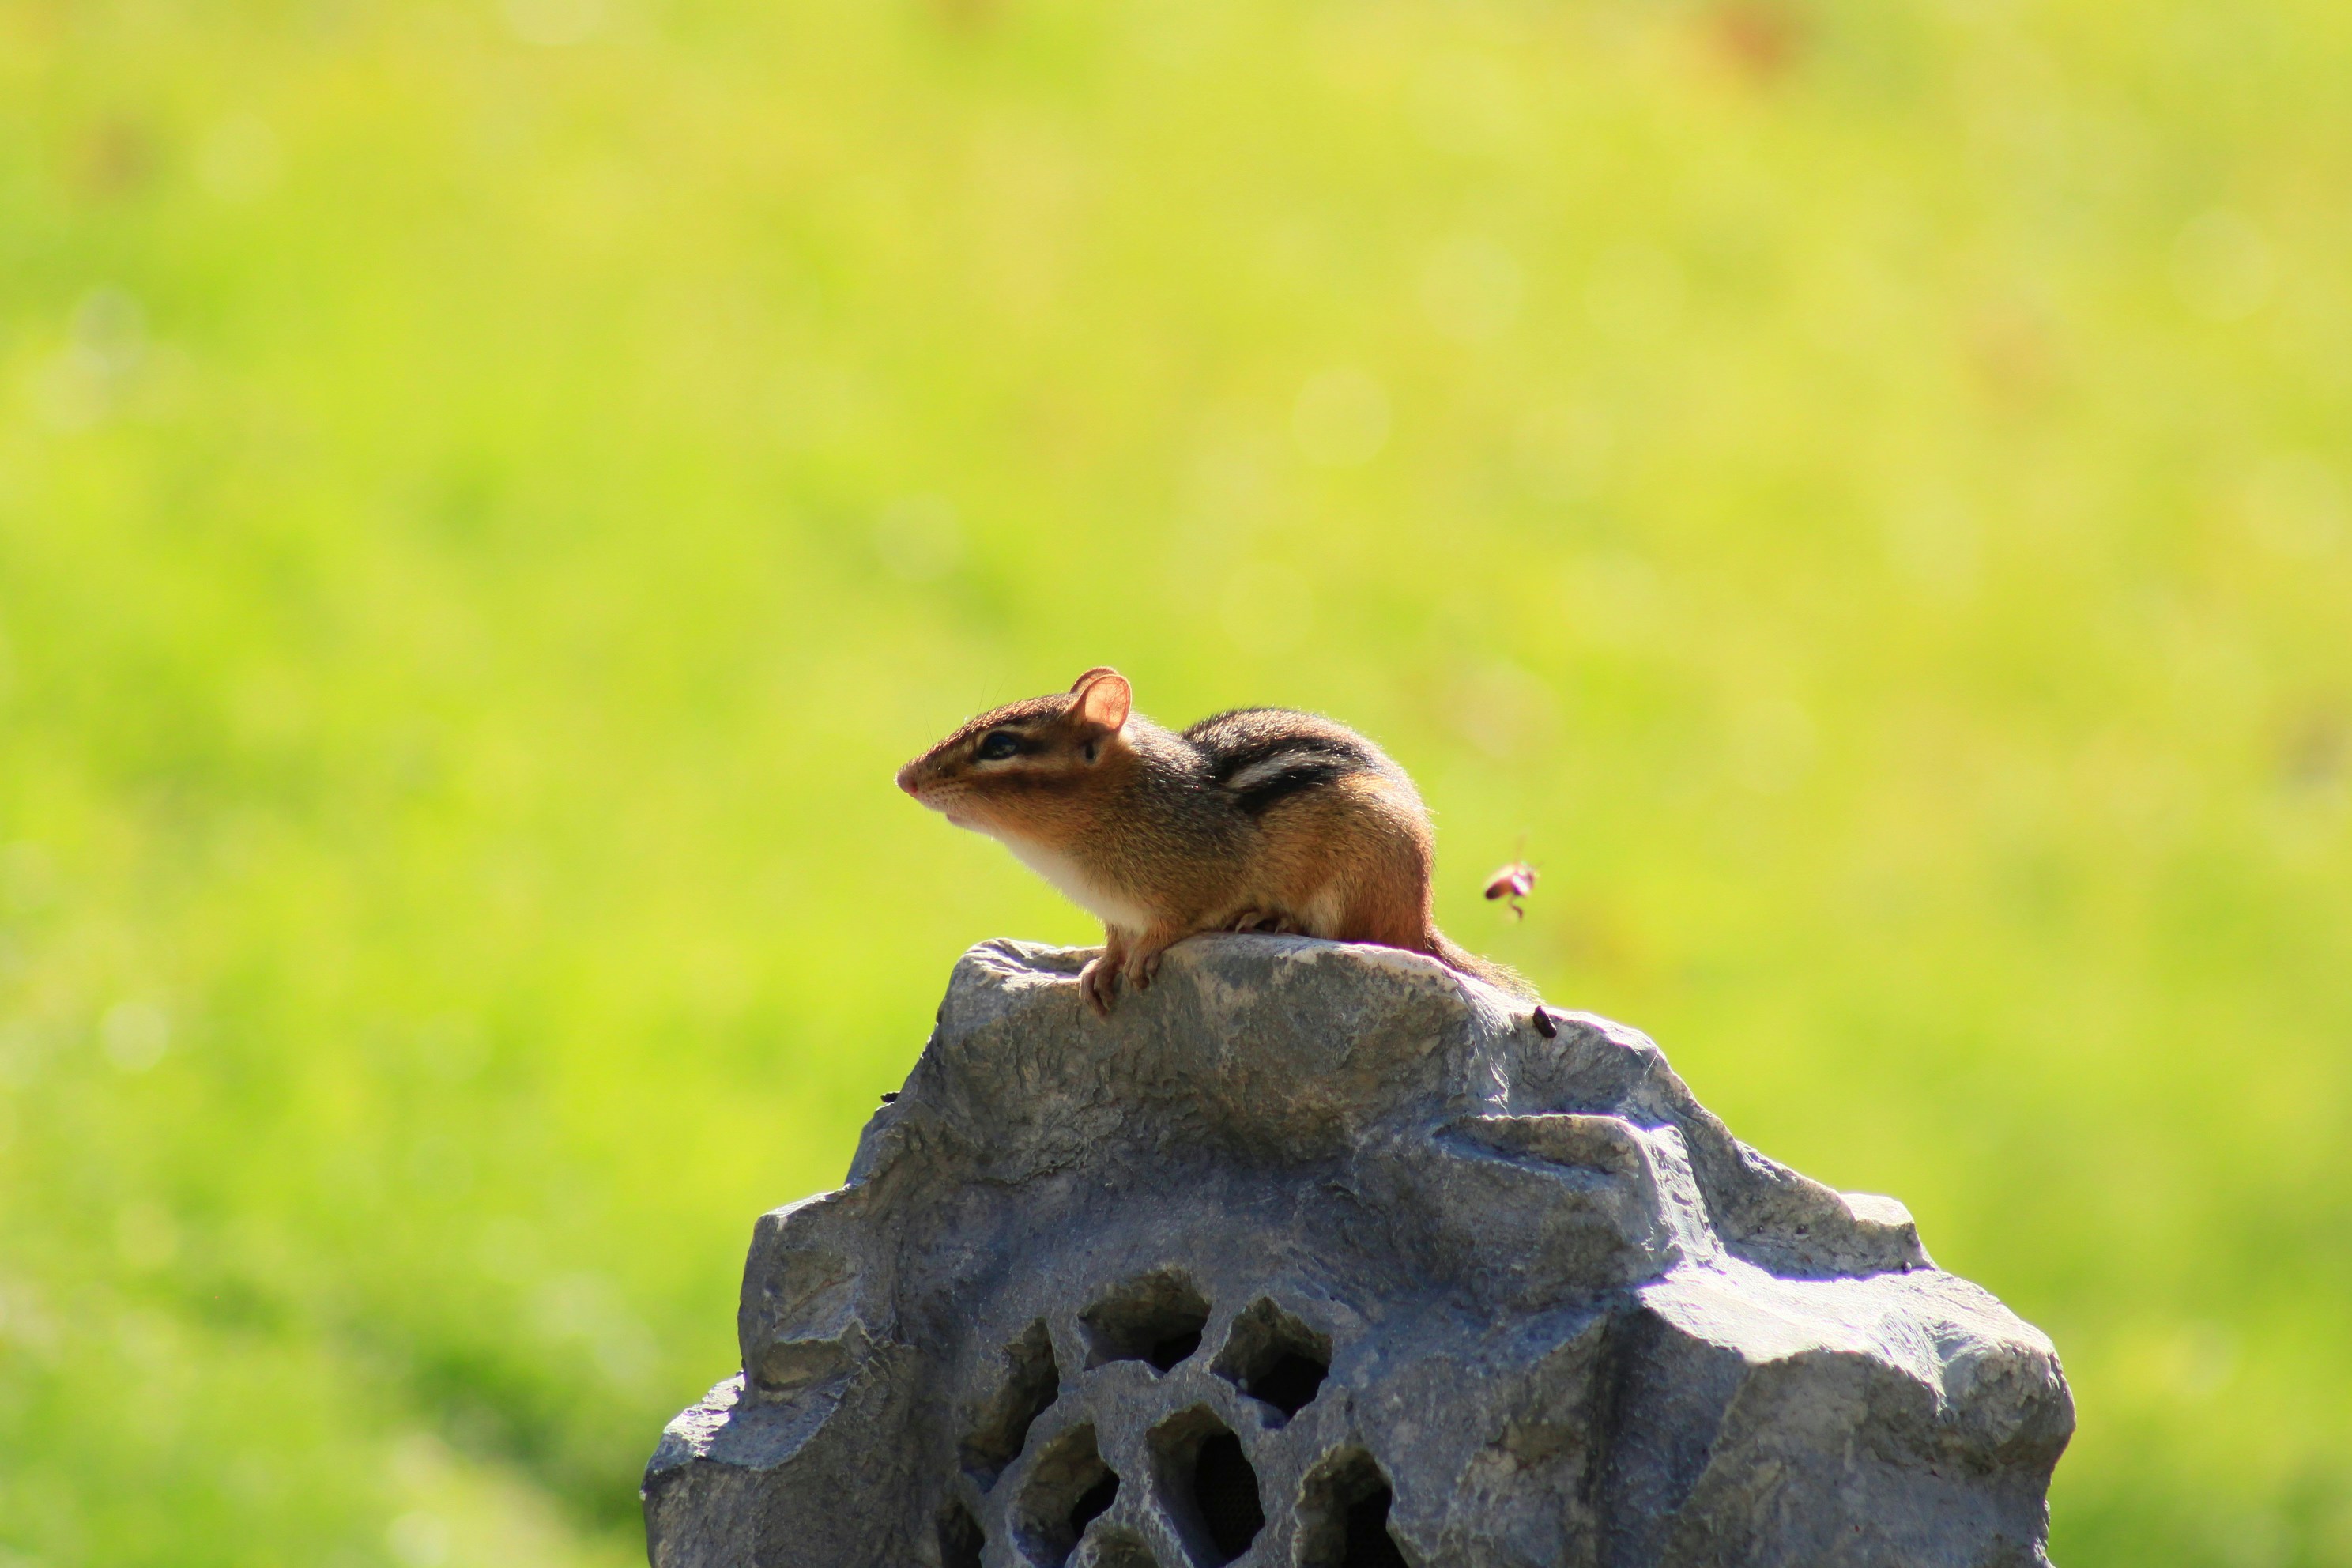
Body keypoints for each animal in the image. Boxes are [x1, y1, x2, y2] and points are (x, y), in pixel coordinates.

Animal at [896, 667, 1530, 1015]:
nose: (905, 779)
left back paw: (1272, 920)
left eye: (1000, 745)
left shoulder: (1193, 886)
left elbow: (1174, 924)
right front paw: (1099, 969)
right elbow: (1114, 942)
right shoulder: (1114, 913)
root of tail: (1419, 915)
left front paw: (1145, 954)